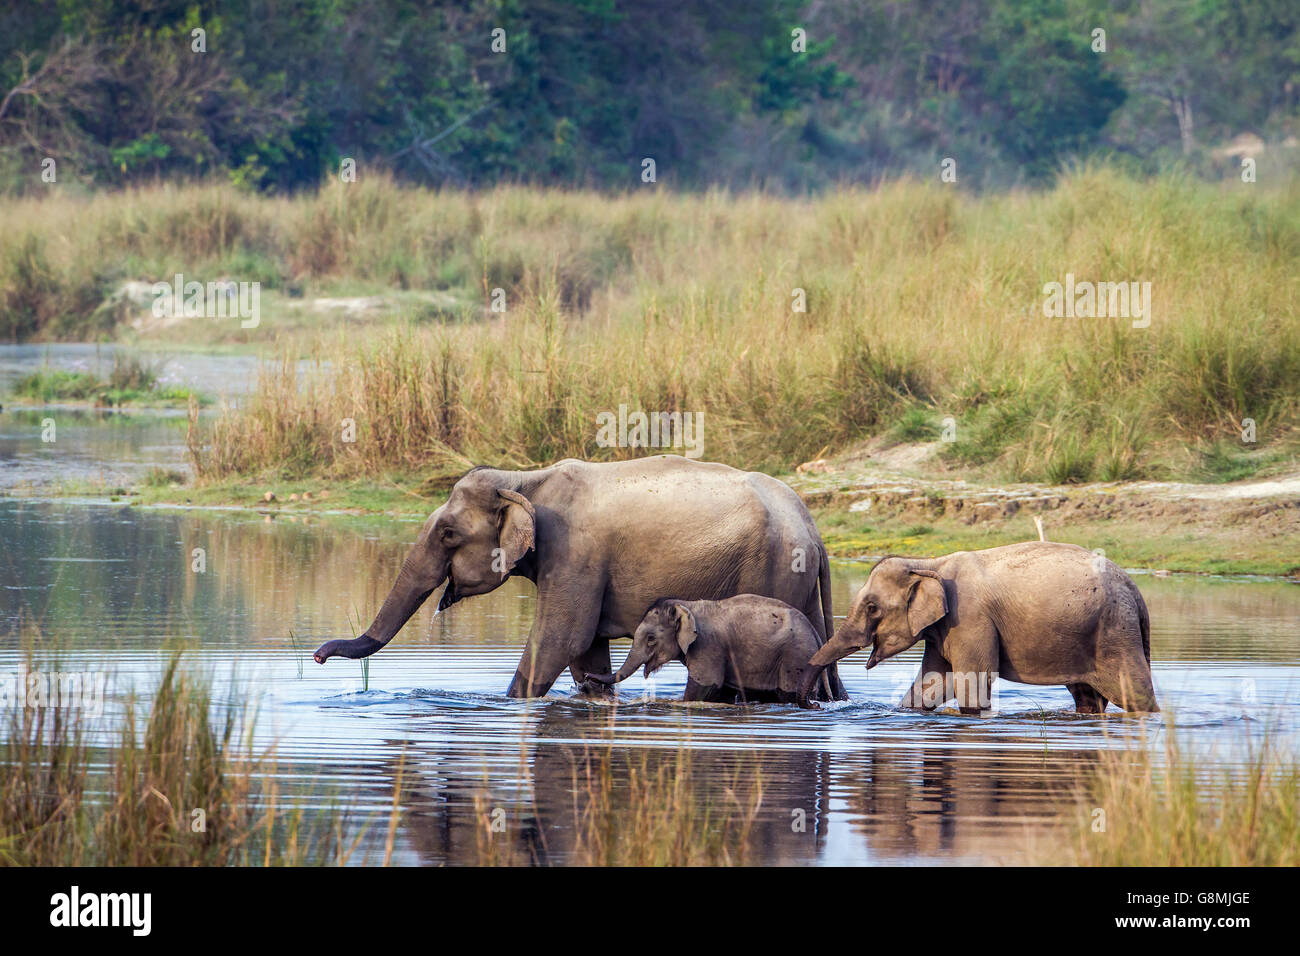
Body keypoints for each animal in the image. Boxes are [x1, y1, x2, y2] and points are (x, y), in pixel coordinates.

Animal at [586, 594, 835, 707]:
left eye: (651, 639)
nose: (587, 677)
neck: (687, 605)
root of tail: (816, 634)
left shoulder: (708, 647)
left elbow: (705, 686)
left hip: (795, 657)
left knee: (788, 693)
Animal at [800, 542, 1158, 714]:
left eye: (872, 607)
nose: (815, 704)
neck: (929, 563)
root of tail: (1136, 592)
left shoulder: (971, 619)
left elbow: (971, 683)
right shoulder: (944, 628)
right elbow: (932, 683)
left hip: (1115, 632)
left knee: (1135, 693)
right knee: (1088, 698)